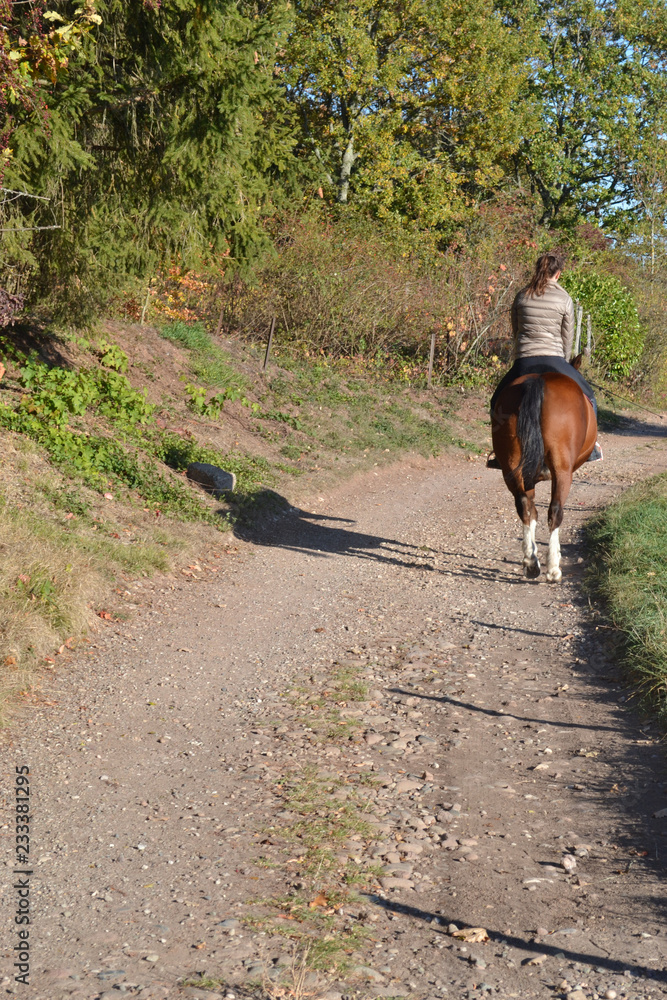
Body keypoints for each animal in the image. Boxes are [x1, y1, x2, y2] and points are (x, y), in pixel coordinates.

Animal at [490, 356, 597, 582]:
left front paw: (531, 556)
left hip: (512, 466)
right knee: (555, 510)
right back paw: (553, 568)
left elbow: (532, 513)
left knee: (524, 506)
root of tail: (536, 381)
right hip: (562, 471)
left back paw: (531, 564)